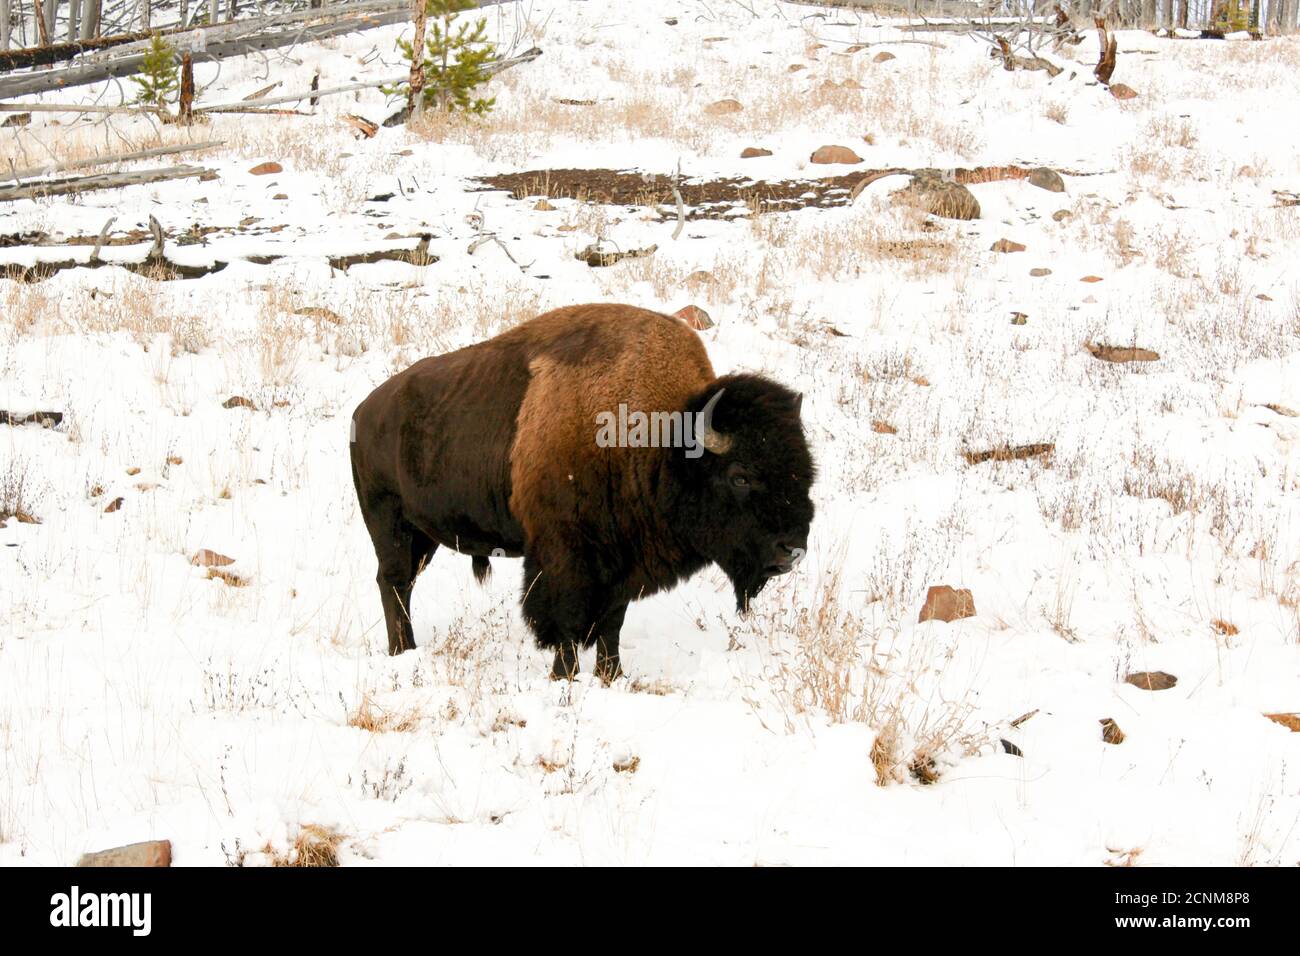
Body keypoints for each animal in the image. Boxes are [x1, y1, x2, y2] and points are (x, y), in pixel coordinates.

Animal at [350, 303, 815, 680]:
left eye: (805, 470)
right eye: (740, 476)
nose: (791, 550)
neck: (662, 439)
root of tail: (365, 409)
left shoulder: (621, 561)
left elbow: (611, 623)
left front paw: (612, 676)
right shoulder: (565, 560)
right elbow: (567, 623)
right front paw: (565, 677)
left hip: (421, 535)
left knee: (403, 584)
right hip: (388, 522)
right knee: (393, 582)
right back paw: (401, 651)